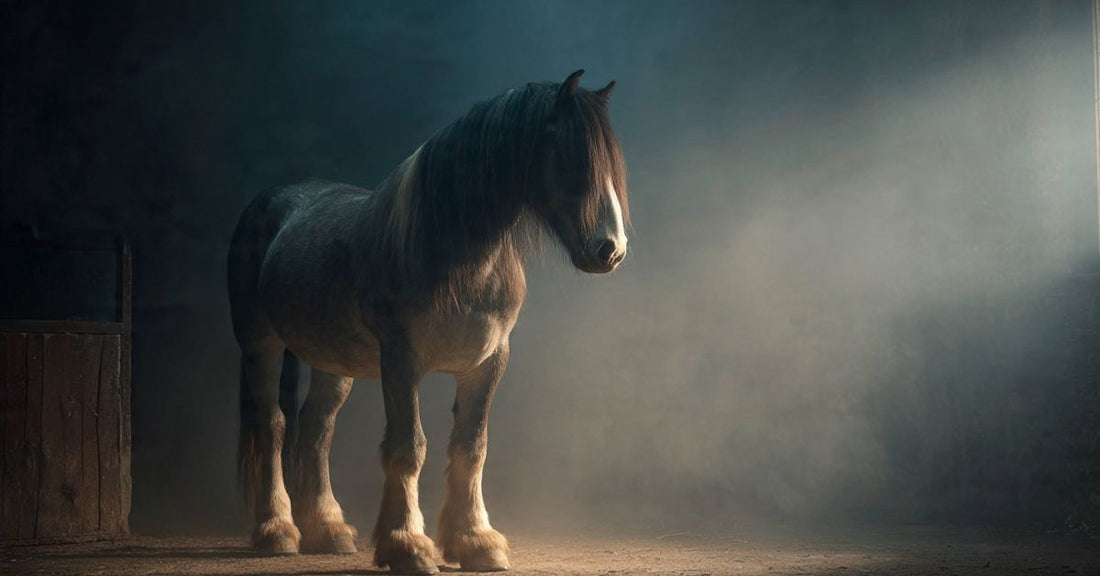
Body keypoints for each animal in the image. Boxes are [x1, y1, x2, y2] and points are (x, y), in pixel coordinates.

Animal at [226, 69, 629, 574]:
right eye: (572, 155)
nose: (610, 249)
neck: (458, 253)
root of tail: (269, 202)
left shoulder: (488, 361)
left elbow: (471, 445)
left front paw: (475, 540)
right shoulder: (401, 359)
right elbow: (408, 446)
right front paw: (407, 544)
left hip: (332, 360)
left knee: (317, 428)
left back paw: (328, 529)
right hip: (260, 344)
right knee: (273, 424)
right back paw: (276, 530)